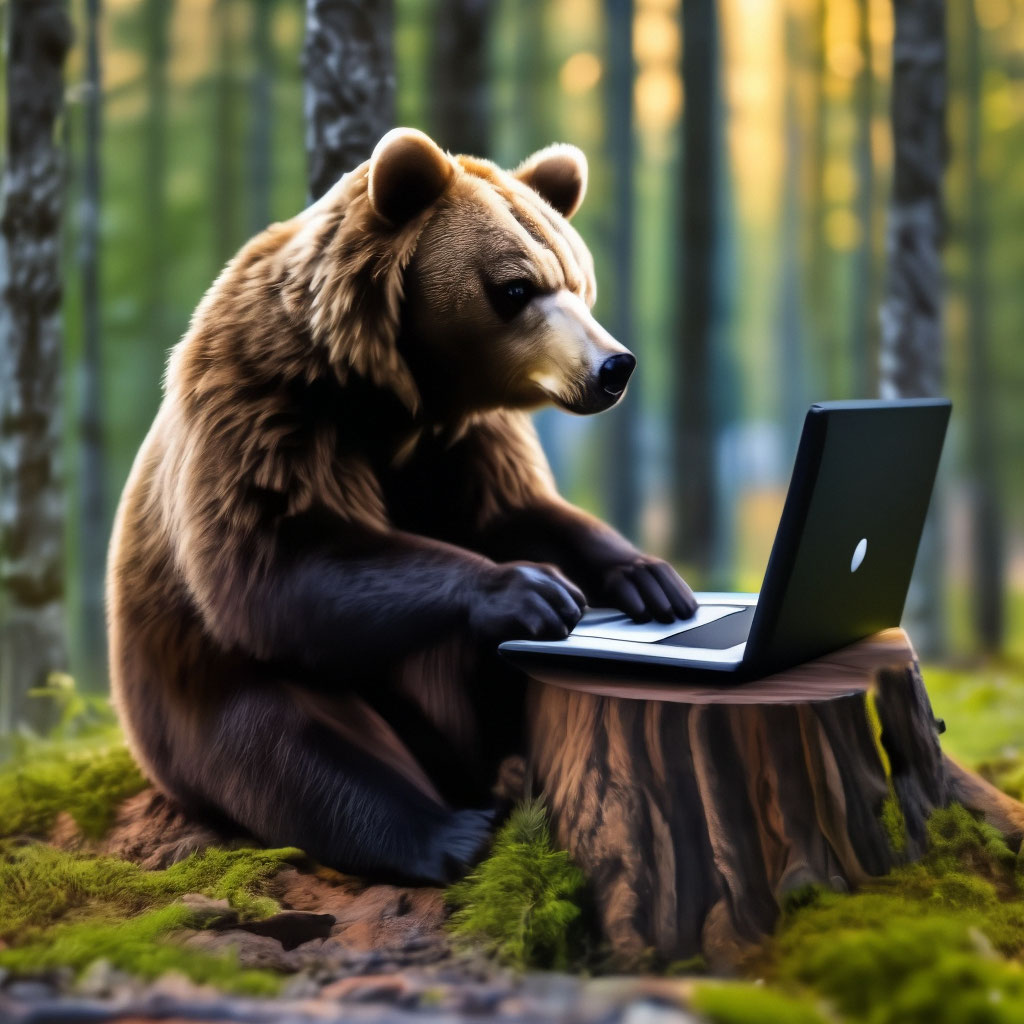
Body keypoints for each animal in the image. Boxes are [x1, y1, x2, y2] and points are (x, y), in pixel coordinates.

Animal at [107, 128, 697, 884]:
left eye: (579, 281)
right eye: (516, 287)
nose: (613, 366)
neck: (400, 397)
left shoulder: (464, 441)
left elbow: (514, 511)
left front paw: (647, 576)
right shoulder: (272, 401)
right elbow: (277, 558)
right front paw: (529, 589)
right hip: (187, 694)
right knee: (290, 742)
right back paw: (447, 829)